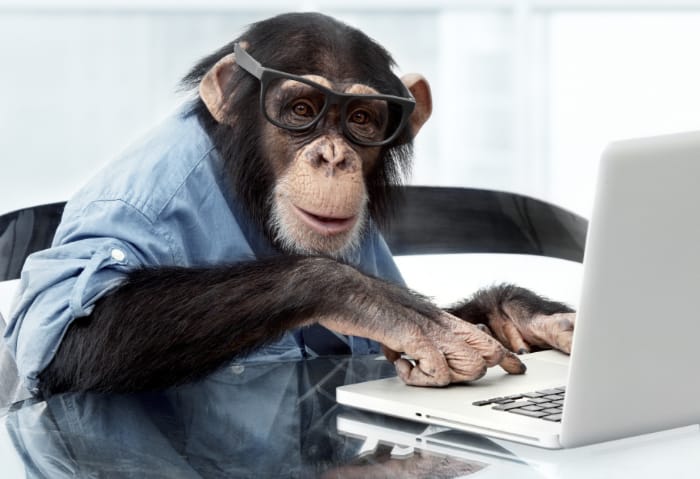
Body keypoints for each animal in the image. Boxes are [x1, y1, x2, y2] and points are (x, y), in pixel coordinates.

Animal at [4, 12, 575, 396]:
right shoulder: (140, 198)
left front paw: (520, 313)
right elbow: (68, 331)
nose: (333, 156)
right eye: (302, 110)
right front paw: (378, 303)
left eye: (362, 120)